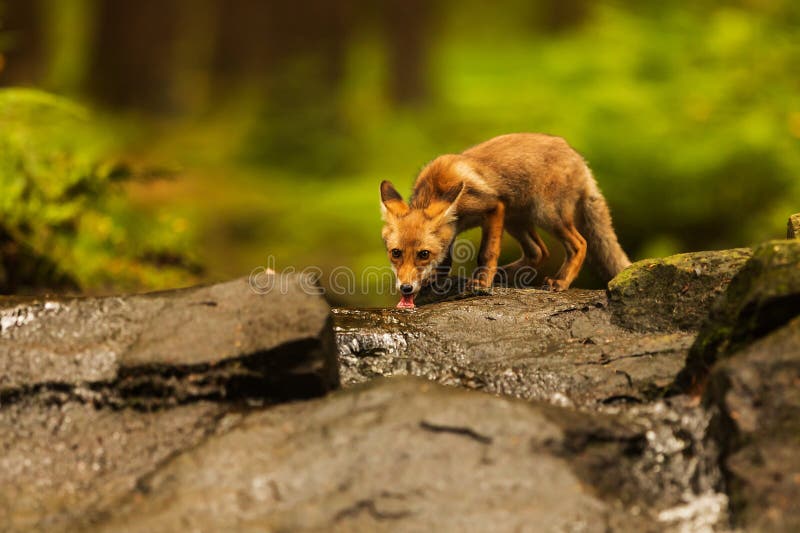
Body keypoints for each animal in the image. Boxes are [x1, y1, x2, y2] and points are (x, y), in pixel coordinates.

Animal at [380, 133, 631, 309]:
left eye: (423, 254)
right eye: (396, 253)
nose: (405, 288)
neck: (436, 187)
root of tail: (577, 156)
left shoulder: (494, 207)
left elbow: (486, 252)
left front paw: (481, 283)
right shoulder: (454, 229)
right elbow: (445, 261)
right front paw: (434, 282)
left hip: (547, 215)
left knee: (580, 244)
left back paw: (560, 281)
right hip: (515, 220)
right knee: (539, 252)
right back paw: (505, 274)